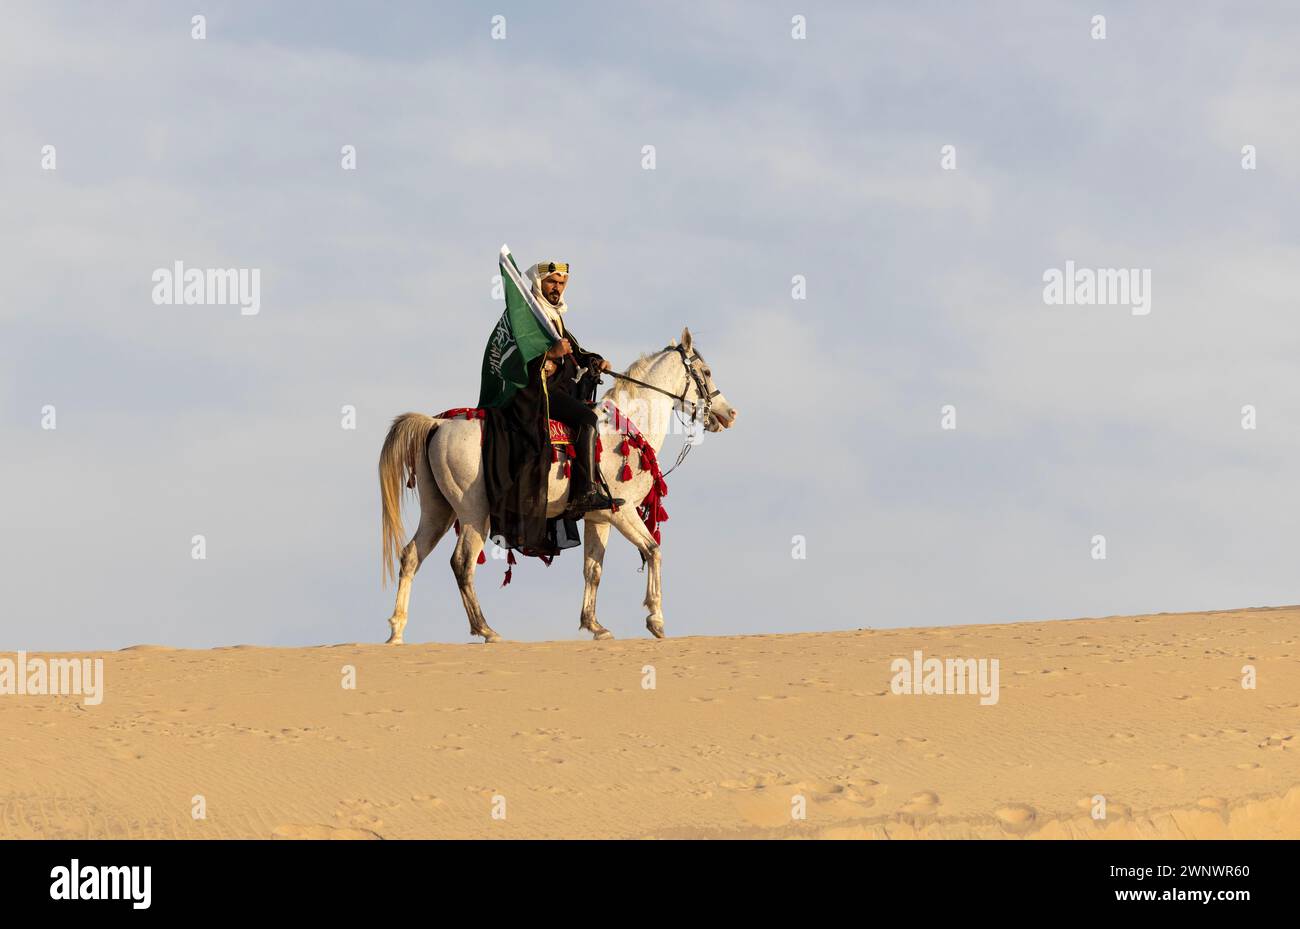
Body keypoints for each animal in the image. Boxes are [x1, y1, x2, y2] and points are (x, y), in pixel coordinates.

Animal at [379, 328, 738, 647]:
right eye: (706, 371)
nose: (729, 413)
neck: (626, 428)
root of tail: (438, 423)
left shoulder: (598, 518)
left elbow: (593, 569)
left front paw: (594, 625)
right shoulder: (621, 513)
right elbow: (653, 550)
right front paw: (656, 619)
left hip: (438, 511)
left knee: (411, 555)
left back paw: (397, 631)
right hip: (474, 513)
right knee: (462, 563)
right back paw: (486, 630)